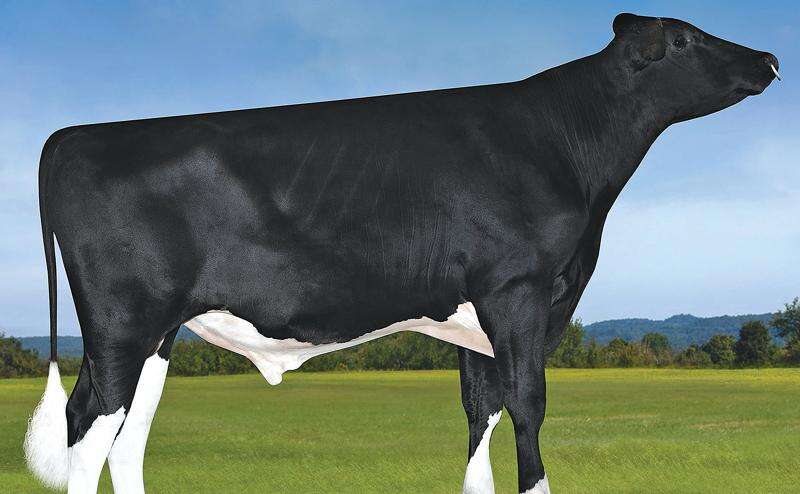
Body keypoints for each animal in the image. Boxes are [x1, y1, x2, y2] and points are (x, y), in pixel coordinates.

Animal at [24, 12, 778, 494]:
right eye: (684, 38)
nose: (770, 59)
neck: (566, 146)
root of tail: (74, 135)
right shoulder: (520, 291)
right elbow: (528, 408)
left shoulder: (479, 318)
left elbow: (482, 414)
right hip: (121, 324)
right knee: (89, 427)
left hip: (156, 332)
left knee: (126, 437)